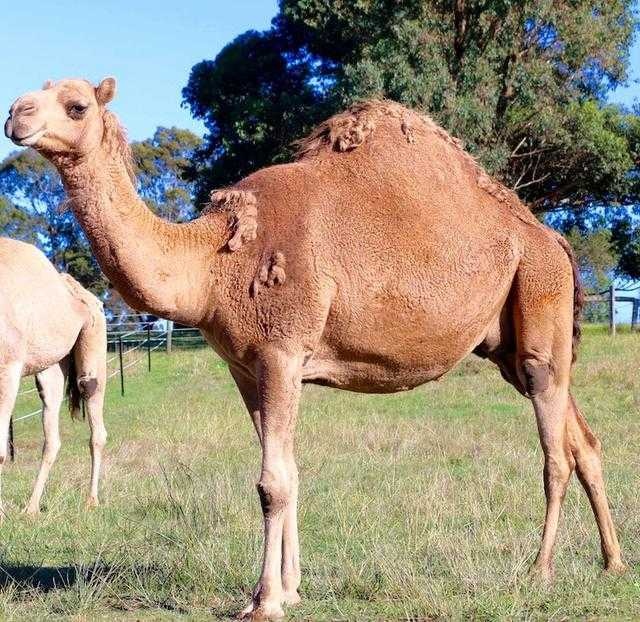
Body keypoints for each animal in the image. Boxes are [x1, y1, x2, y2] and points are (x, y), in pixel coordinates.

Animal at [0, 237, 107, 515]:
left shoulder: (9, 365)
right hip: (52, 365)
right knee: (52, 433)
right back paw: (31, 508)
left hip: (94, 338)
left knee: (92, 401)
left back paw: (91, 500)